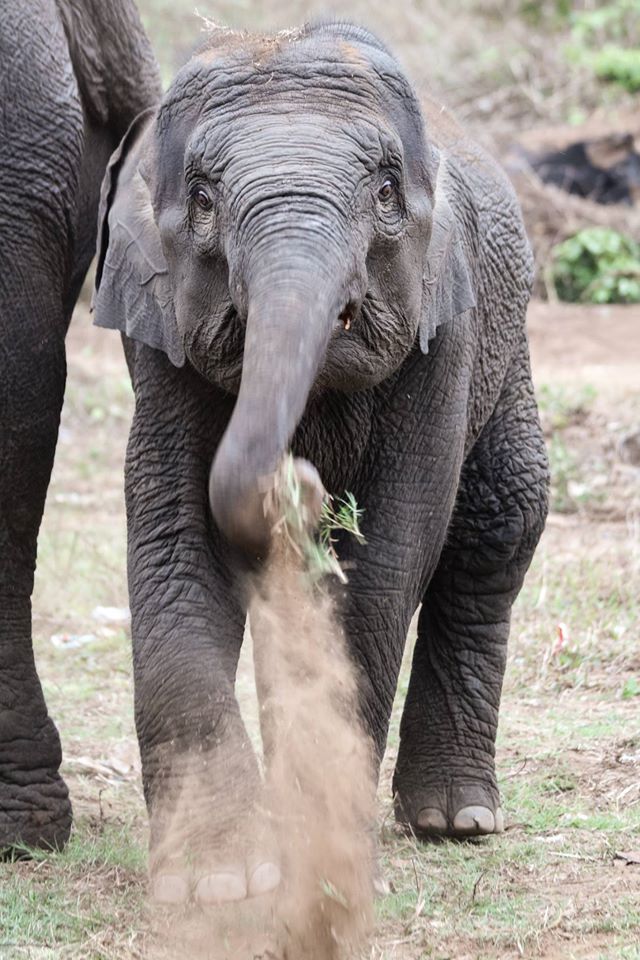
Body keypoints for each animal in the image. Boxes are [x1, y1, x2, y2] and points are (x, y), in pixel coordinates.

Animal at [92, 20, 549, 904]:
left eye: (385, 195)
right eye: (203, 201)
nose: (297, 481)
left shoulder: (446, 333)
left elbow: (392, 551)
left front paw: (323, 855)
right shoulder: (157, 334)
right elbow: (173, 535)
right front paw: (218, 879)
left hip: (508, 354)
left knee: (500, 523)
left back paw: (457, 820)